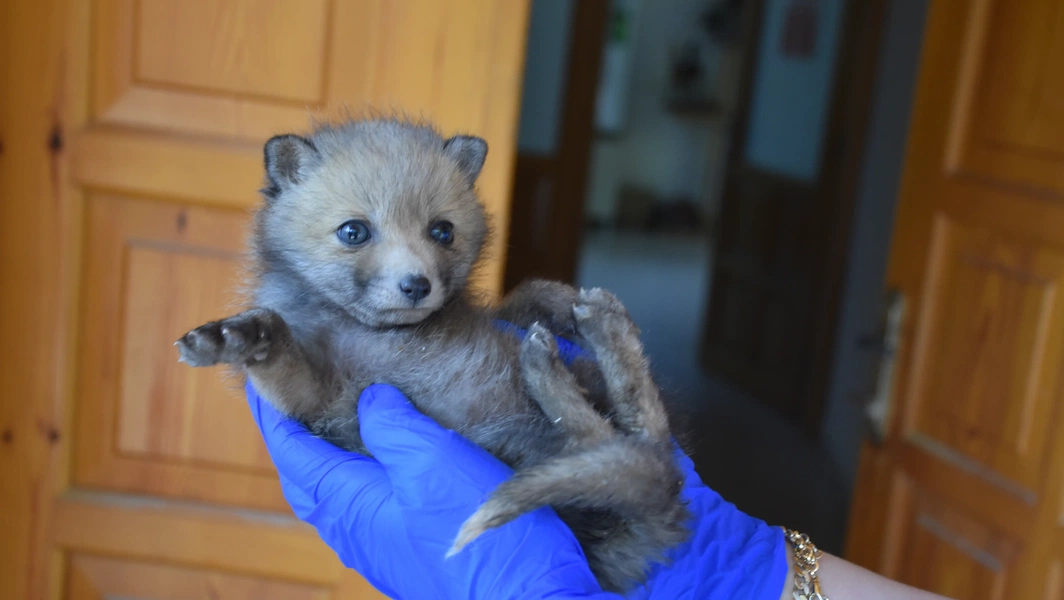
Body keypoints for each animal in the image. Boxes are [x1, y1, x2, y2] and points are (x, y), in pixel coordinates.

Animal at [174, 116, 690, 593]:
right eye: (353, 231)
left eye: (442, 232)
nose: (417, 286)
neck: (389, 334)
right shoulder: (323, 400)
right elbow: (278, 350)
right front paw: (241, 335)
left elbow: (521, 295)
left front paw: (560, 300)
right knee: (620, 442)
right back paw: (550, 366)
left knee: (644, 434)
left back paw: (593, 333)